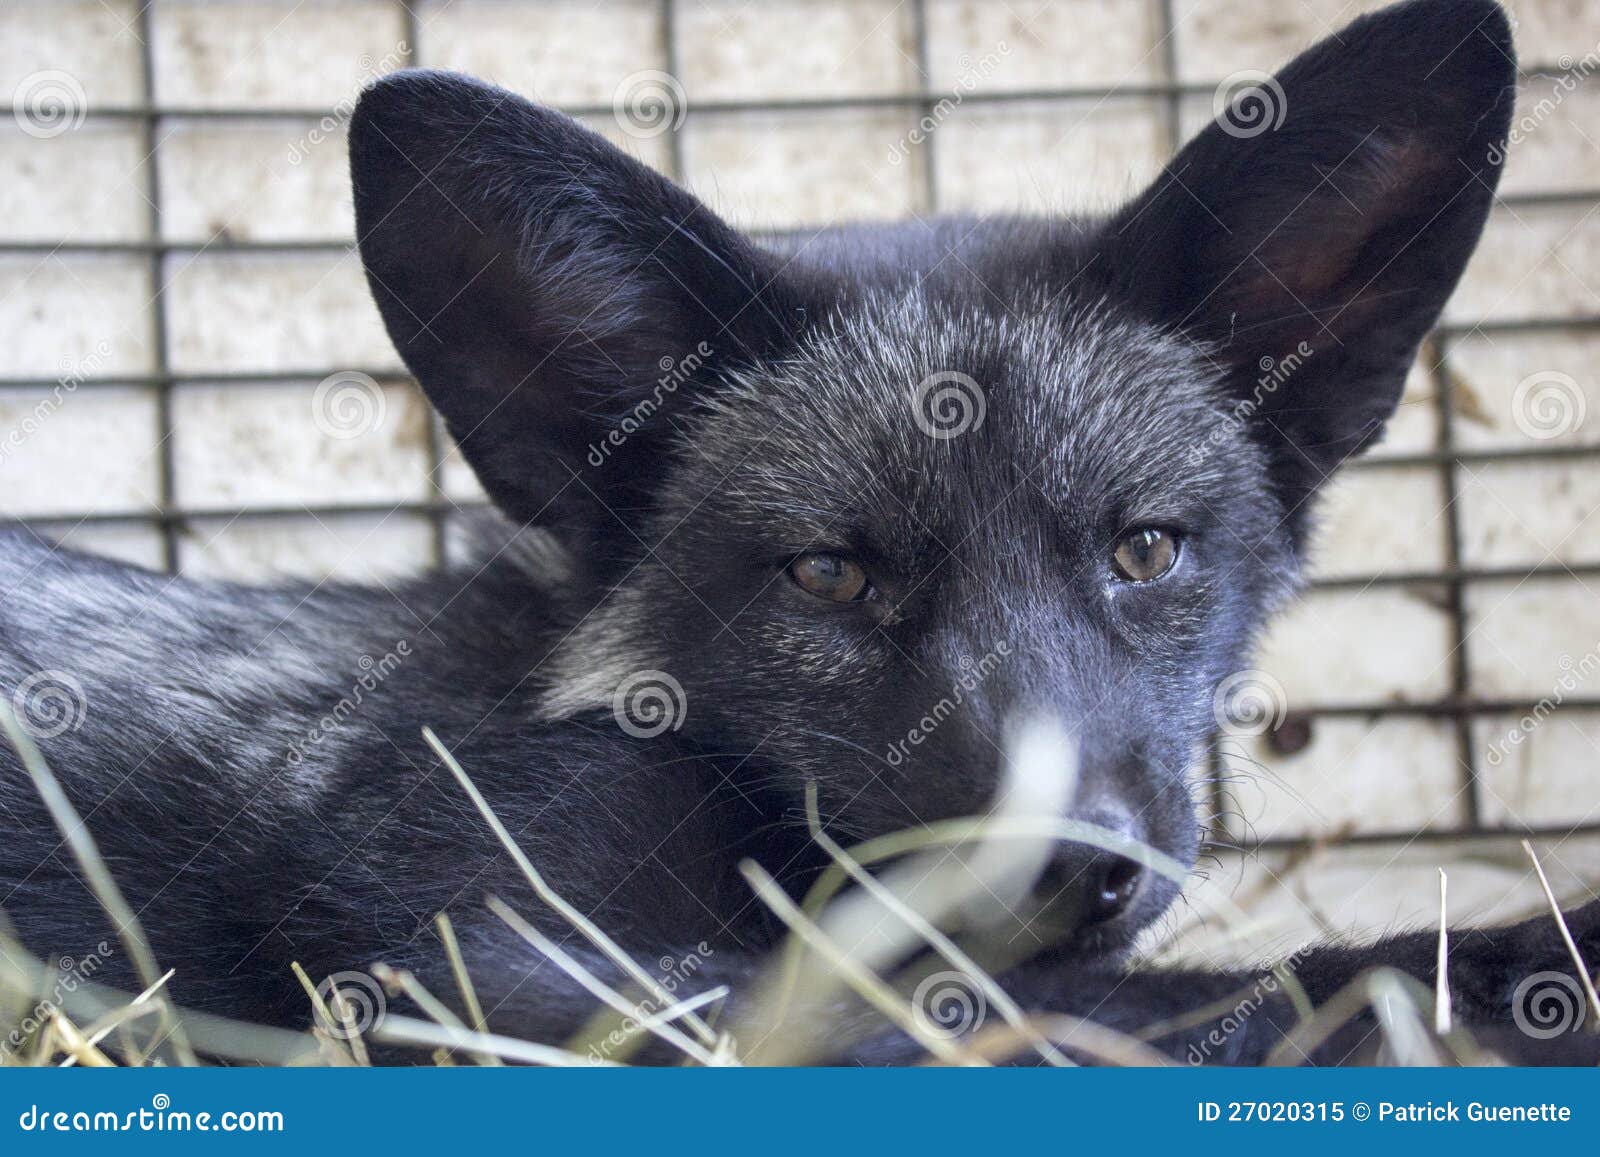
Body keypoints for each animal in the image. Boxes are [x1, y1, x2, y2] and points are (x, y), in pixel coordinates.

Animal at [2, 0, 1597, 1066]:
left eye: (1146, 550)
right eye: (829, 574)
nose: (1072, 861)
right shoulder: (480, 954)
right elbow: (1119, 1003)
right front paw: (1500, 974)